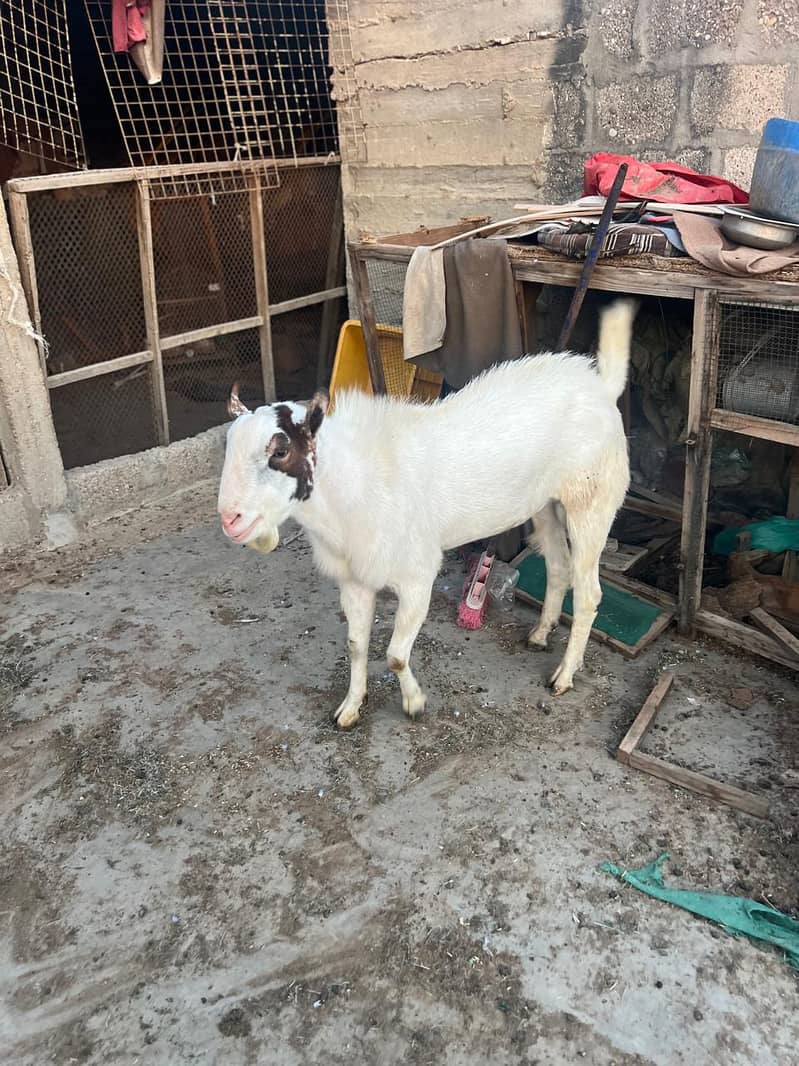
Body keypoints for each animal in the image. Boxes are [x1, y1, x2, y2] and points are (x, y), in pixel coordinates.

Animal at [218, 298, 638, 729]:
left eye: (281, 450)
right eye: (227, 445)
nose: (230, 520)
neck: (357, 484)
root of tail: (600, 386)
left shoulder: (417, 575)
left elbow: (395, 655)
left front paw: (414, 703)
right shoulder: (354, 577)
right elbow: (355, 645)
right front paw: (350, 708)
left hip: (593, 498)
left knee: (589, 591)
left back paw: (564, 675)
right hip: (545, 503)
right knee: (558, 566)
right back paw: (539, 635)